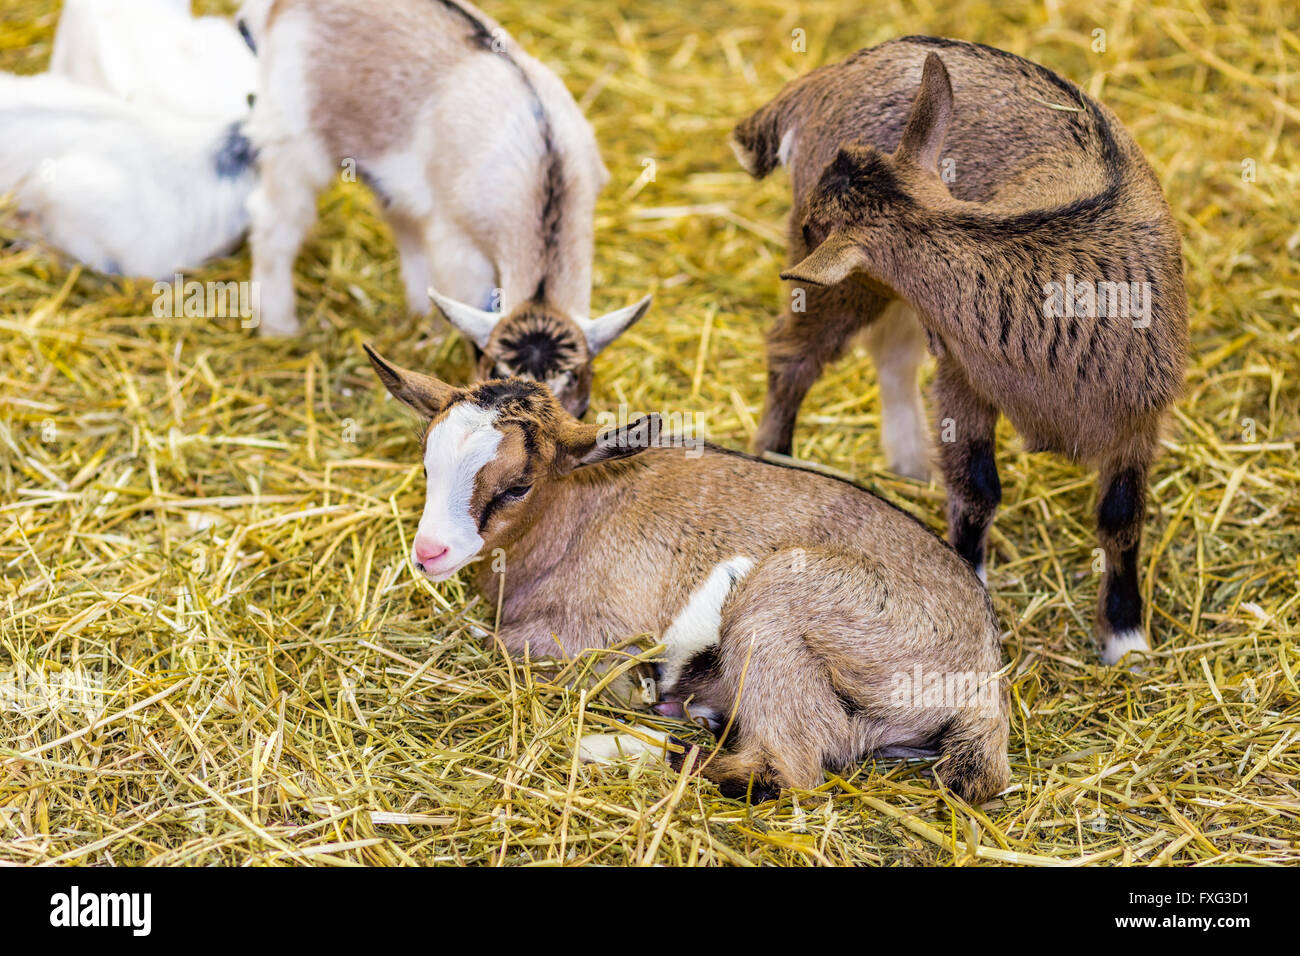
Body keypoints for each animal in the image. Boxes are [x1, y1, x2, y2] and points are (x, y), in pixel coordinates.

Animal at [240, 0, 651, 395]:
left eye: (576, 379)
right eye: (496, 371)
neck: (547, 173)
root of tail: (279, 6)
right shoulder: (456, 245)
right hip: (294, 138)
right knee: (275, 224)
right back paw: (279, 326)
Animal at [363, 346, 1010, 804]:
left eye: (517, 486)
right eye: (427, 462)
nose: (430, 552)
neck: (578, 513)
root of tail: (984, 676)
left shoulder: (592, 633)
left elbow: (503, 643)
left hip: (779, 599)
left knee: (785, 768)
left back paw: (613, 745)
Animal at [732, 39, 1188, 665]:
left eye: (811, 226)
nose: (800, 235)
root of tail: (825, 79)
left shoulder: (1137, 420)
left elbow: (1121, 521)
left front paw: (1126, 642)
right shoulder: (964, 379)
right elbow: (977, 490)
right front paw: (969, 589)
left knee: (890, 353)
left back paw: (909, 464)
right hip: (843, 290)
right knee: (792, 356)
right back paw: (780, 462)